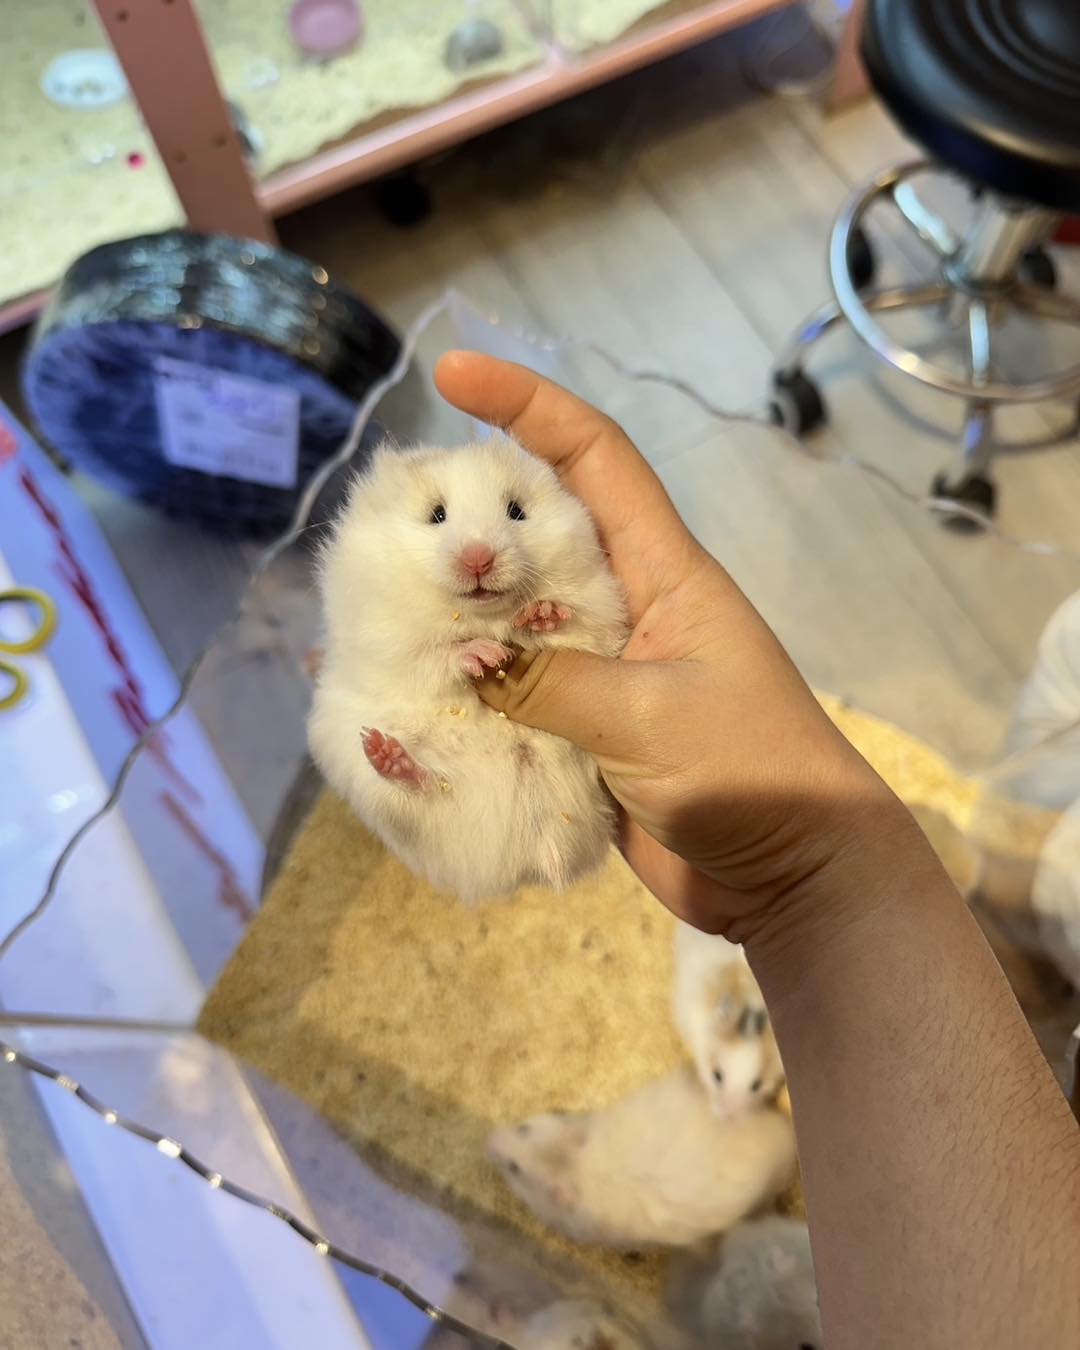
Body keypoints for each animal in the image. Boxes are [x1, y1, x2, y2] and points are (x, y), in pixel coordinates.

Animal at [308, 434, 628, 902]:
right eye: (436, 515)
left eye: (516, 511)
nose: (479, 558)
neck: (482, 616)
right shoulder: (384, 636)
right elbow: (435, 654)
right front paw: (486, 657)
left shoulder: (601, 610)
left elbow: (574, 627)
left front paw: (539, 615)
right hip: (369, 777)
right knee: (417, 792)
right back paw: (384, 751)